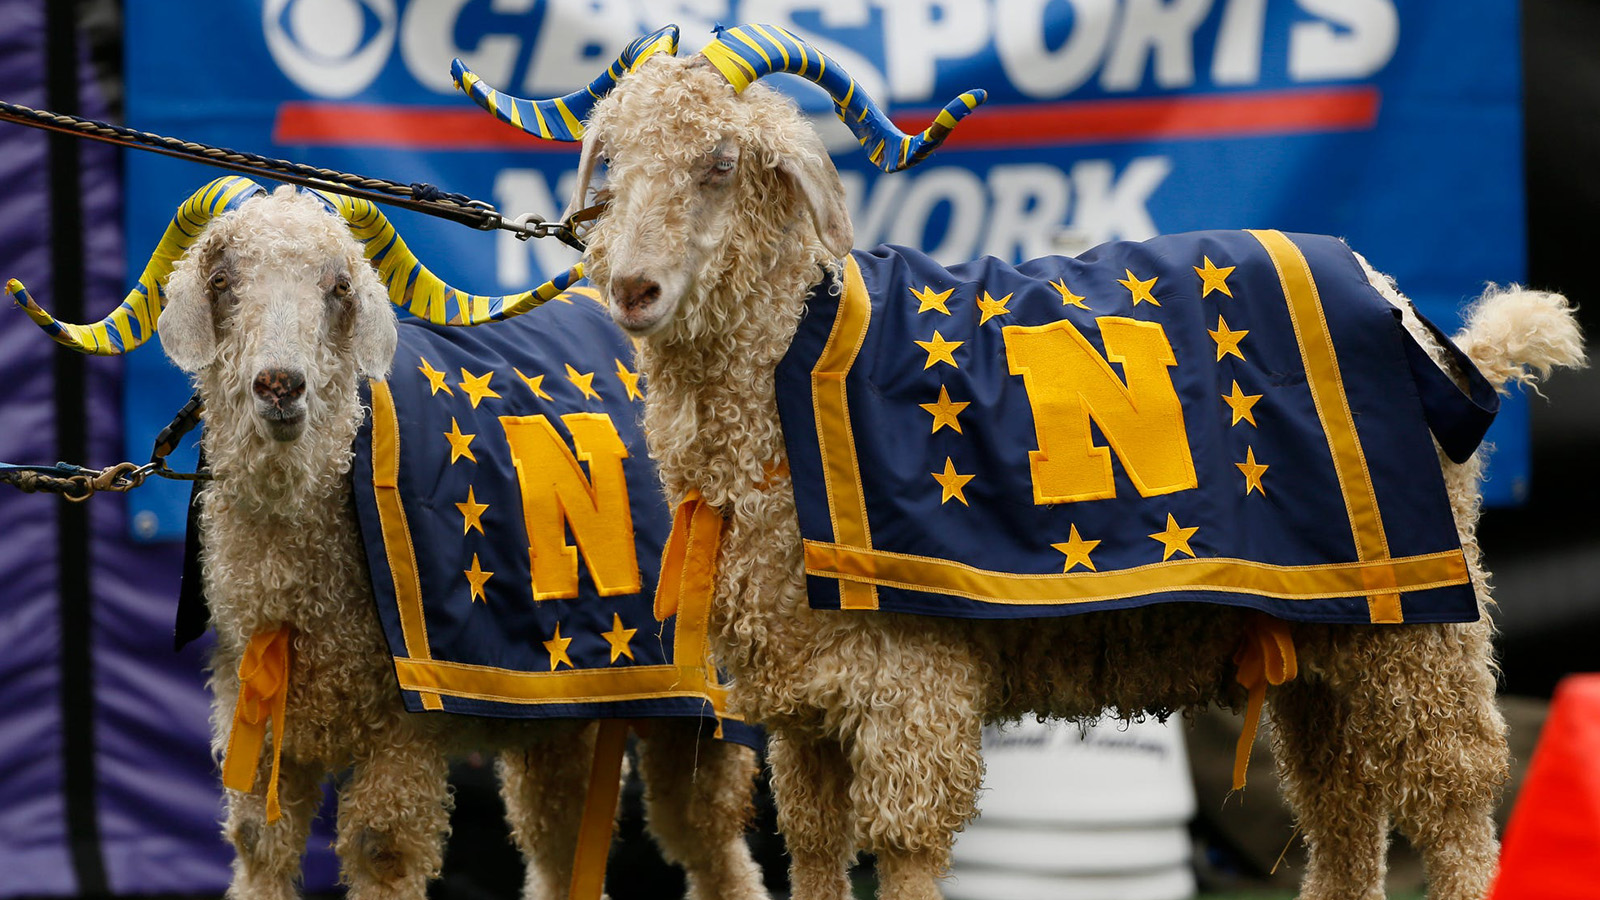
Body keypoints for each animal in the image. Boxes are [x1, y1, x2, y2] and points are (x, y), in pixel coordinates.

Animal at [8, 176, 768, 900]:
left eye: (339, 286)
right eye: (222, 281)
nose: (280, 386)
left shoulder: (404, 728)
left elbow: (383, 849)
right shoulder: (258, 718)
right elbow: (258, 847)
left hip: (699, 705)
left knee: (713, 847)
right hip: (565, 708)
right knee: (557, 843)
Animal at [453, 24, 1586, 900]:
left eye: (720, 165)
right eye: (610, 163)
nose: (632, 290)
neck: (791, 377)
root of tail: (1434, 333)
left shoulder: (909, 682)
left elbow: (908, 852)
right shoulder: (805, 709)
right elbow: (815, 852)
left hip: (1424, 626)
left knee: (1455, 804)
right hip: (1331, 639)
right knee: (1344, 815)